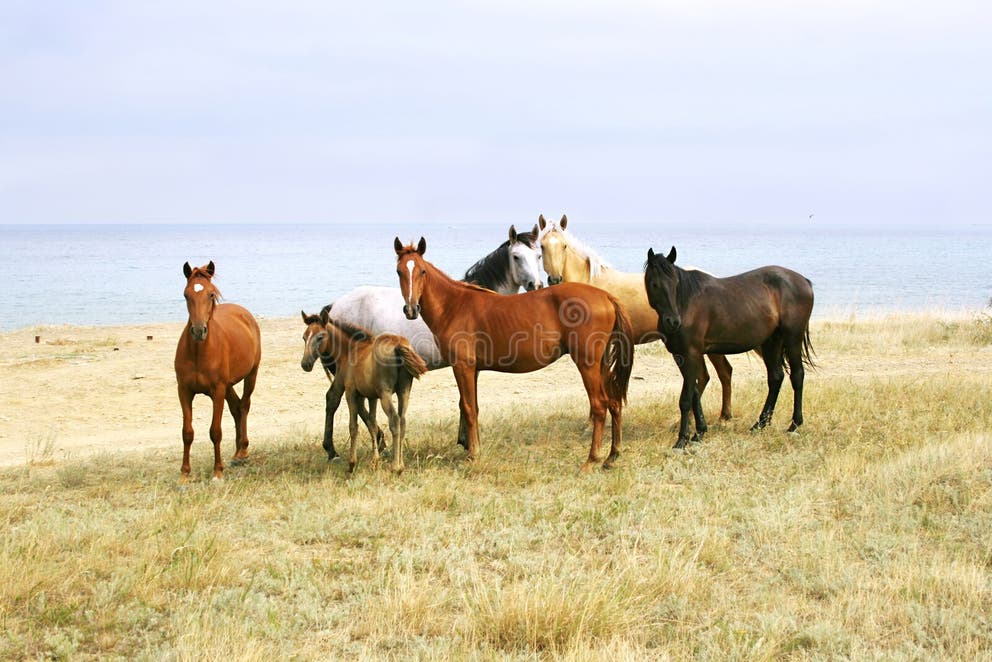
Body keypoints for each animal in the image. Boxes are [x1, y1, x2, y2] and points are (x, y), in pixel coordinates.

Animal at [174, 261, 262, 481]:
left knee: (244, 405)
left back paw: (243, 452)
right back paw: (237, 453)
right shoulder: (184, 391)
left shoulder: (217, 391)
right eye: (186, 294)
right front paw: (184, 474)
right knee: (236, 408)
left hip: (251, 376)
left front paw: (217, 472)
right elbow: (187, 433)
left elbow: (215, 432)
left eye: (211, 294)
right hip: (229, 385)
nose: (198, 331)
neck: (199, 352)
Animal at [300, 309, 427, 473]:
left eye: (320, 337)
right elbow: (372, 422)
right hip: (404, 391)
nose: (305, 364)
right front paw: (375, 460)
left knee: (394, 420)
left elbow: (353, 426)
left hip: (386, 394)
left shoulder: (351, 392)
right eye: (304, 337)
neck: (350, 350)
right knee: (403, 421)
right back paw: (401, 465)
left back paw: (395, 467)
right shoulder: (371, 396)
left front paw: (351, 463)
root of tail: (398, 346)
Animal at [309, 223, 542, 459]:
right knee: (334, 398)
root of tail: (334, 307)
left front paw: (465, 440)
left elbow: (466, 402)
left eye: (538, 255)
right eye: (516, 257)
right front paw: (467, 442)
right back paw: (335, 449)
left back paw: (378, 442)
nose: (536, 285)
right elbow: (466, 403)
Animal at [394, 237, 635, 472]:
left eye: (422, 271)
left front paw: (473, 455)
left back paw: (591, 460)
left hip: (587, 364)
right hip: (602, 364)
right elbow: (473, 407)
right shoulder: (473, 369)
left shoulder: (463, 367)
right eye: (399, 271)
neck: (455, 306)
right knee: (614, 402)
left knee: (599, 406)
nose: (411, 309)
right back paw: (612, 456)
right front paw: (475, 449)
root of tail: (606, 296)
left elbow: (469, 409)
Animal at [644, 246, 815, 448]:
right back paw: (760, 424)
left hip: (792, 339)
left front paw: (682, 440)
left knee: (797, 375)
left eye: (676, 283)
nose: (673, 322)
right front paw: (699, 432)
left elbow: (686, 398)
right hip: (772, 342)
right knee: (776, 377)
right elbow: (694, 392)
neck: (686, 304)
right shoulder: (681, 355)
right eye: (655, 284)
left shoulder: (691, 353)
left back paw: (794, 424)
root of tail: (803, 281)